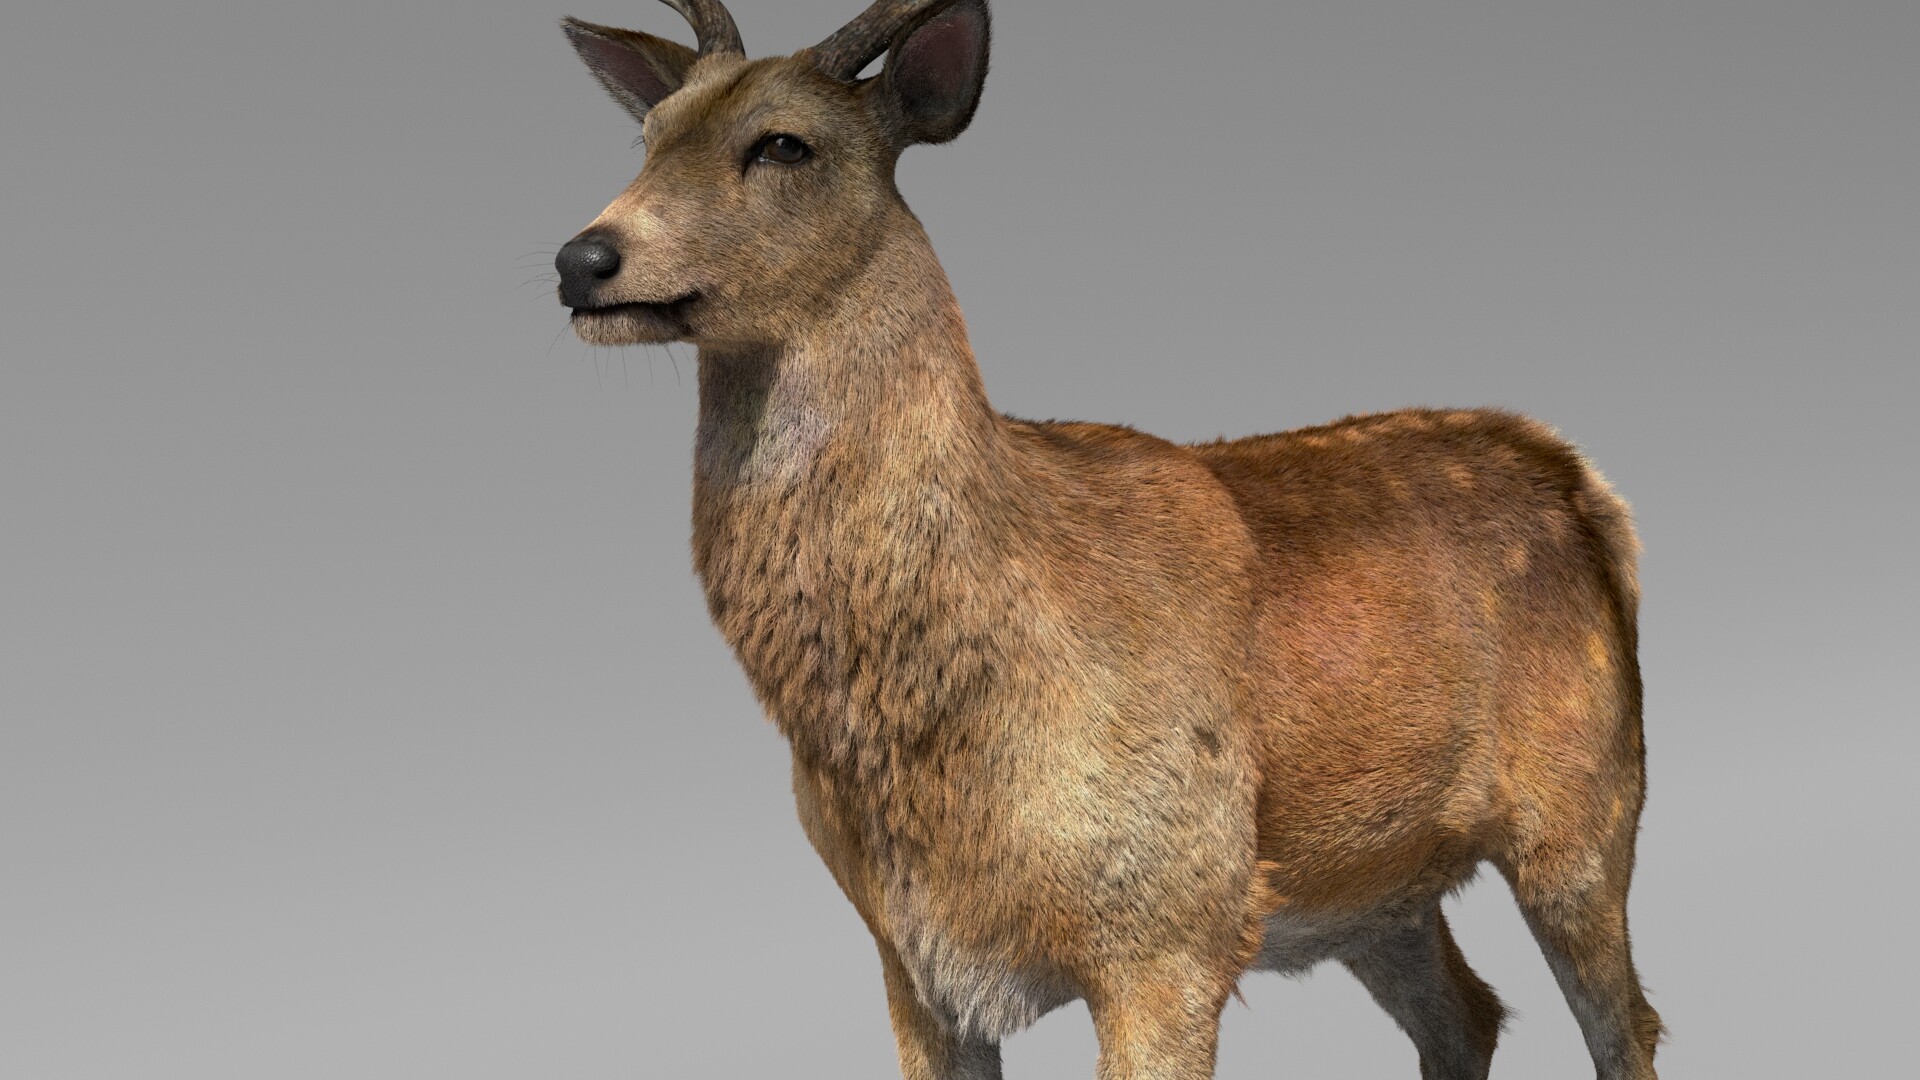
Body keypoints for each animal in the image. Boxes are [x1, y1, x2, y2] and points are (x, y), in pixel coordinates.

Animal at [551, 2, 1664, 1077]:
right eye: (649, 135)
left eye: (784, 143)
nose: (581, 258)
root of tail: (1585, 486)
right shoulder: (910, 961)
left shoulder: (1172, 923)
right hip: (1375, 890)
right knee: (1467, 1017)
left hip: (1586, 802)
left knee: (1625, 1024)